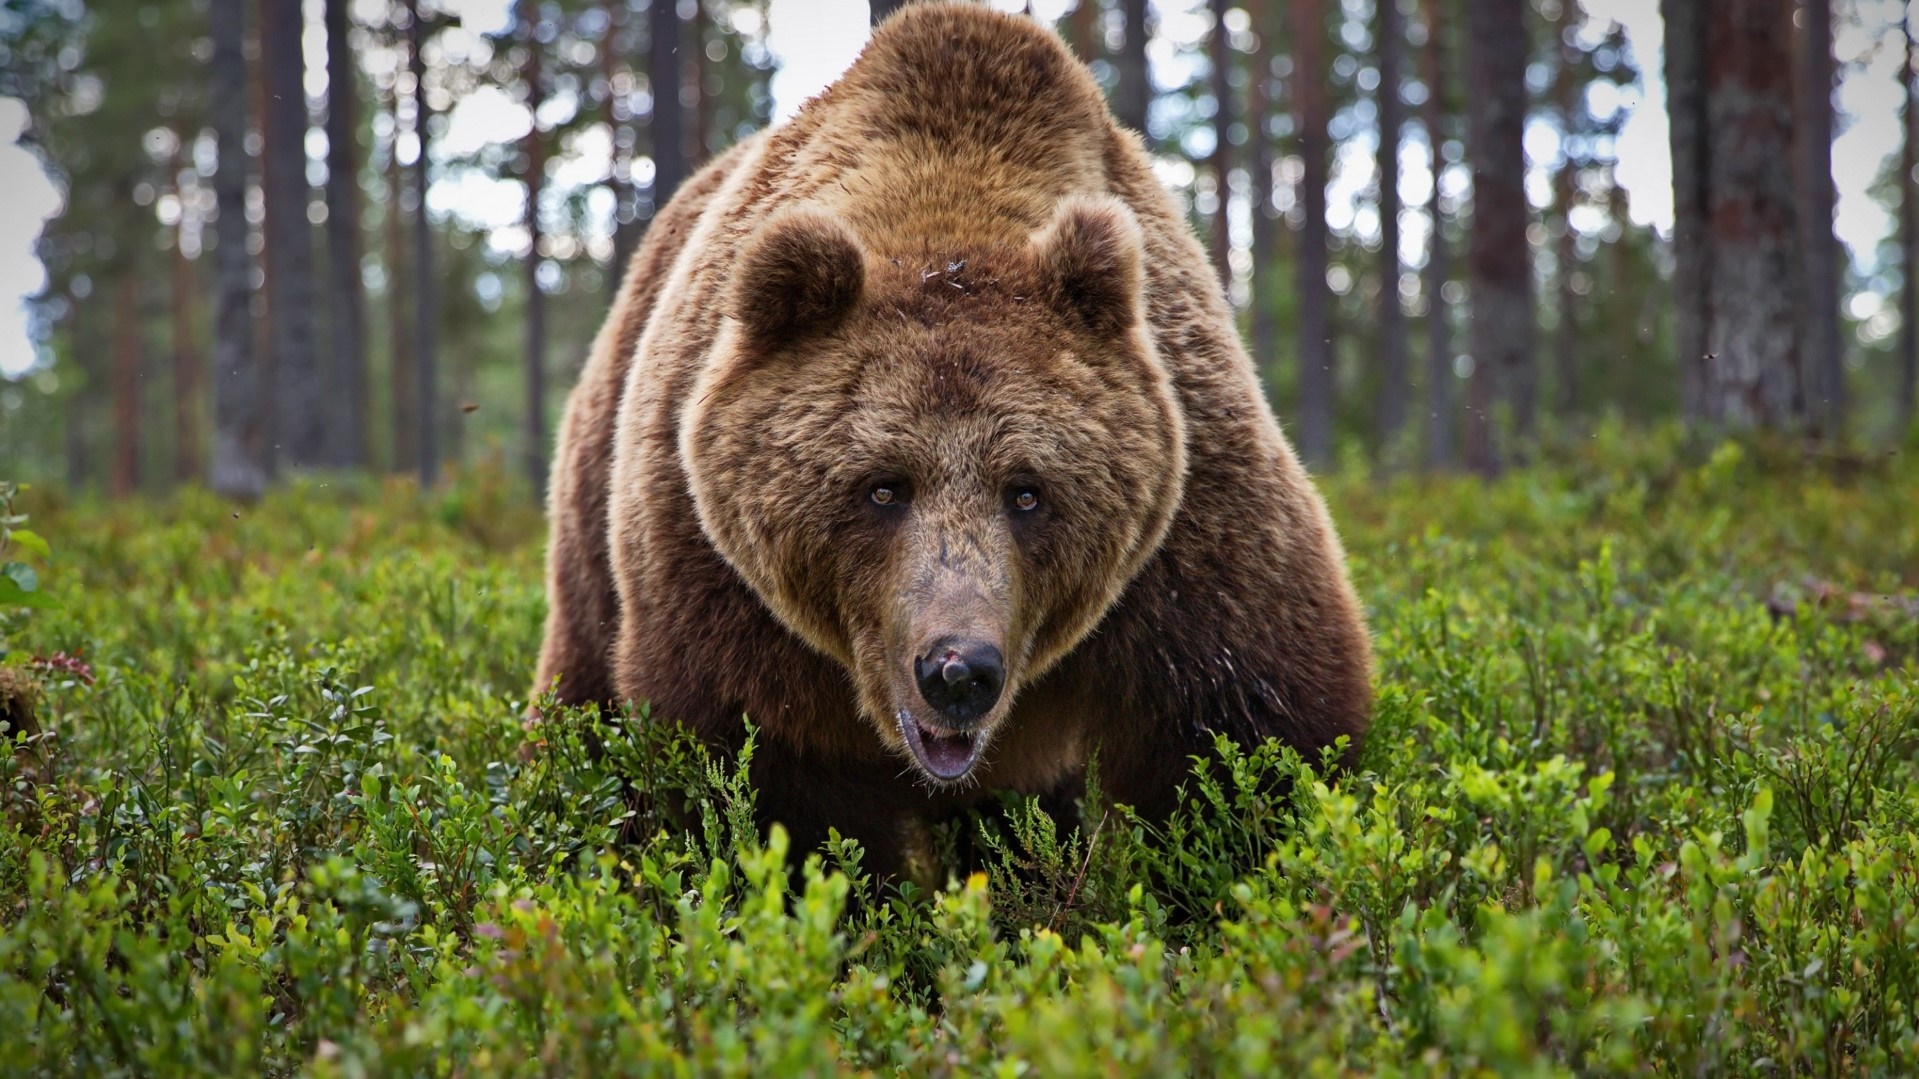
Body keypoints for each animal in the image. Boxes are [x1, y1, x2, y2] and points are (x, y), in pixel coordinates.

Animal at [533, 2, 1373, 878]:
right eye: (881, 485)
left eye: (1028, 491)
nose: (958, 668)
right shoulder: (717, 578)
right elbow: (767, 788)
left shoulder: (1187, 525)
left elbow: (1246, 728)